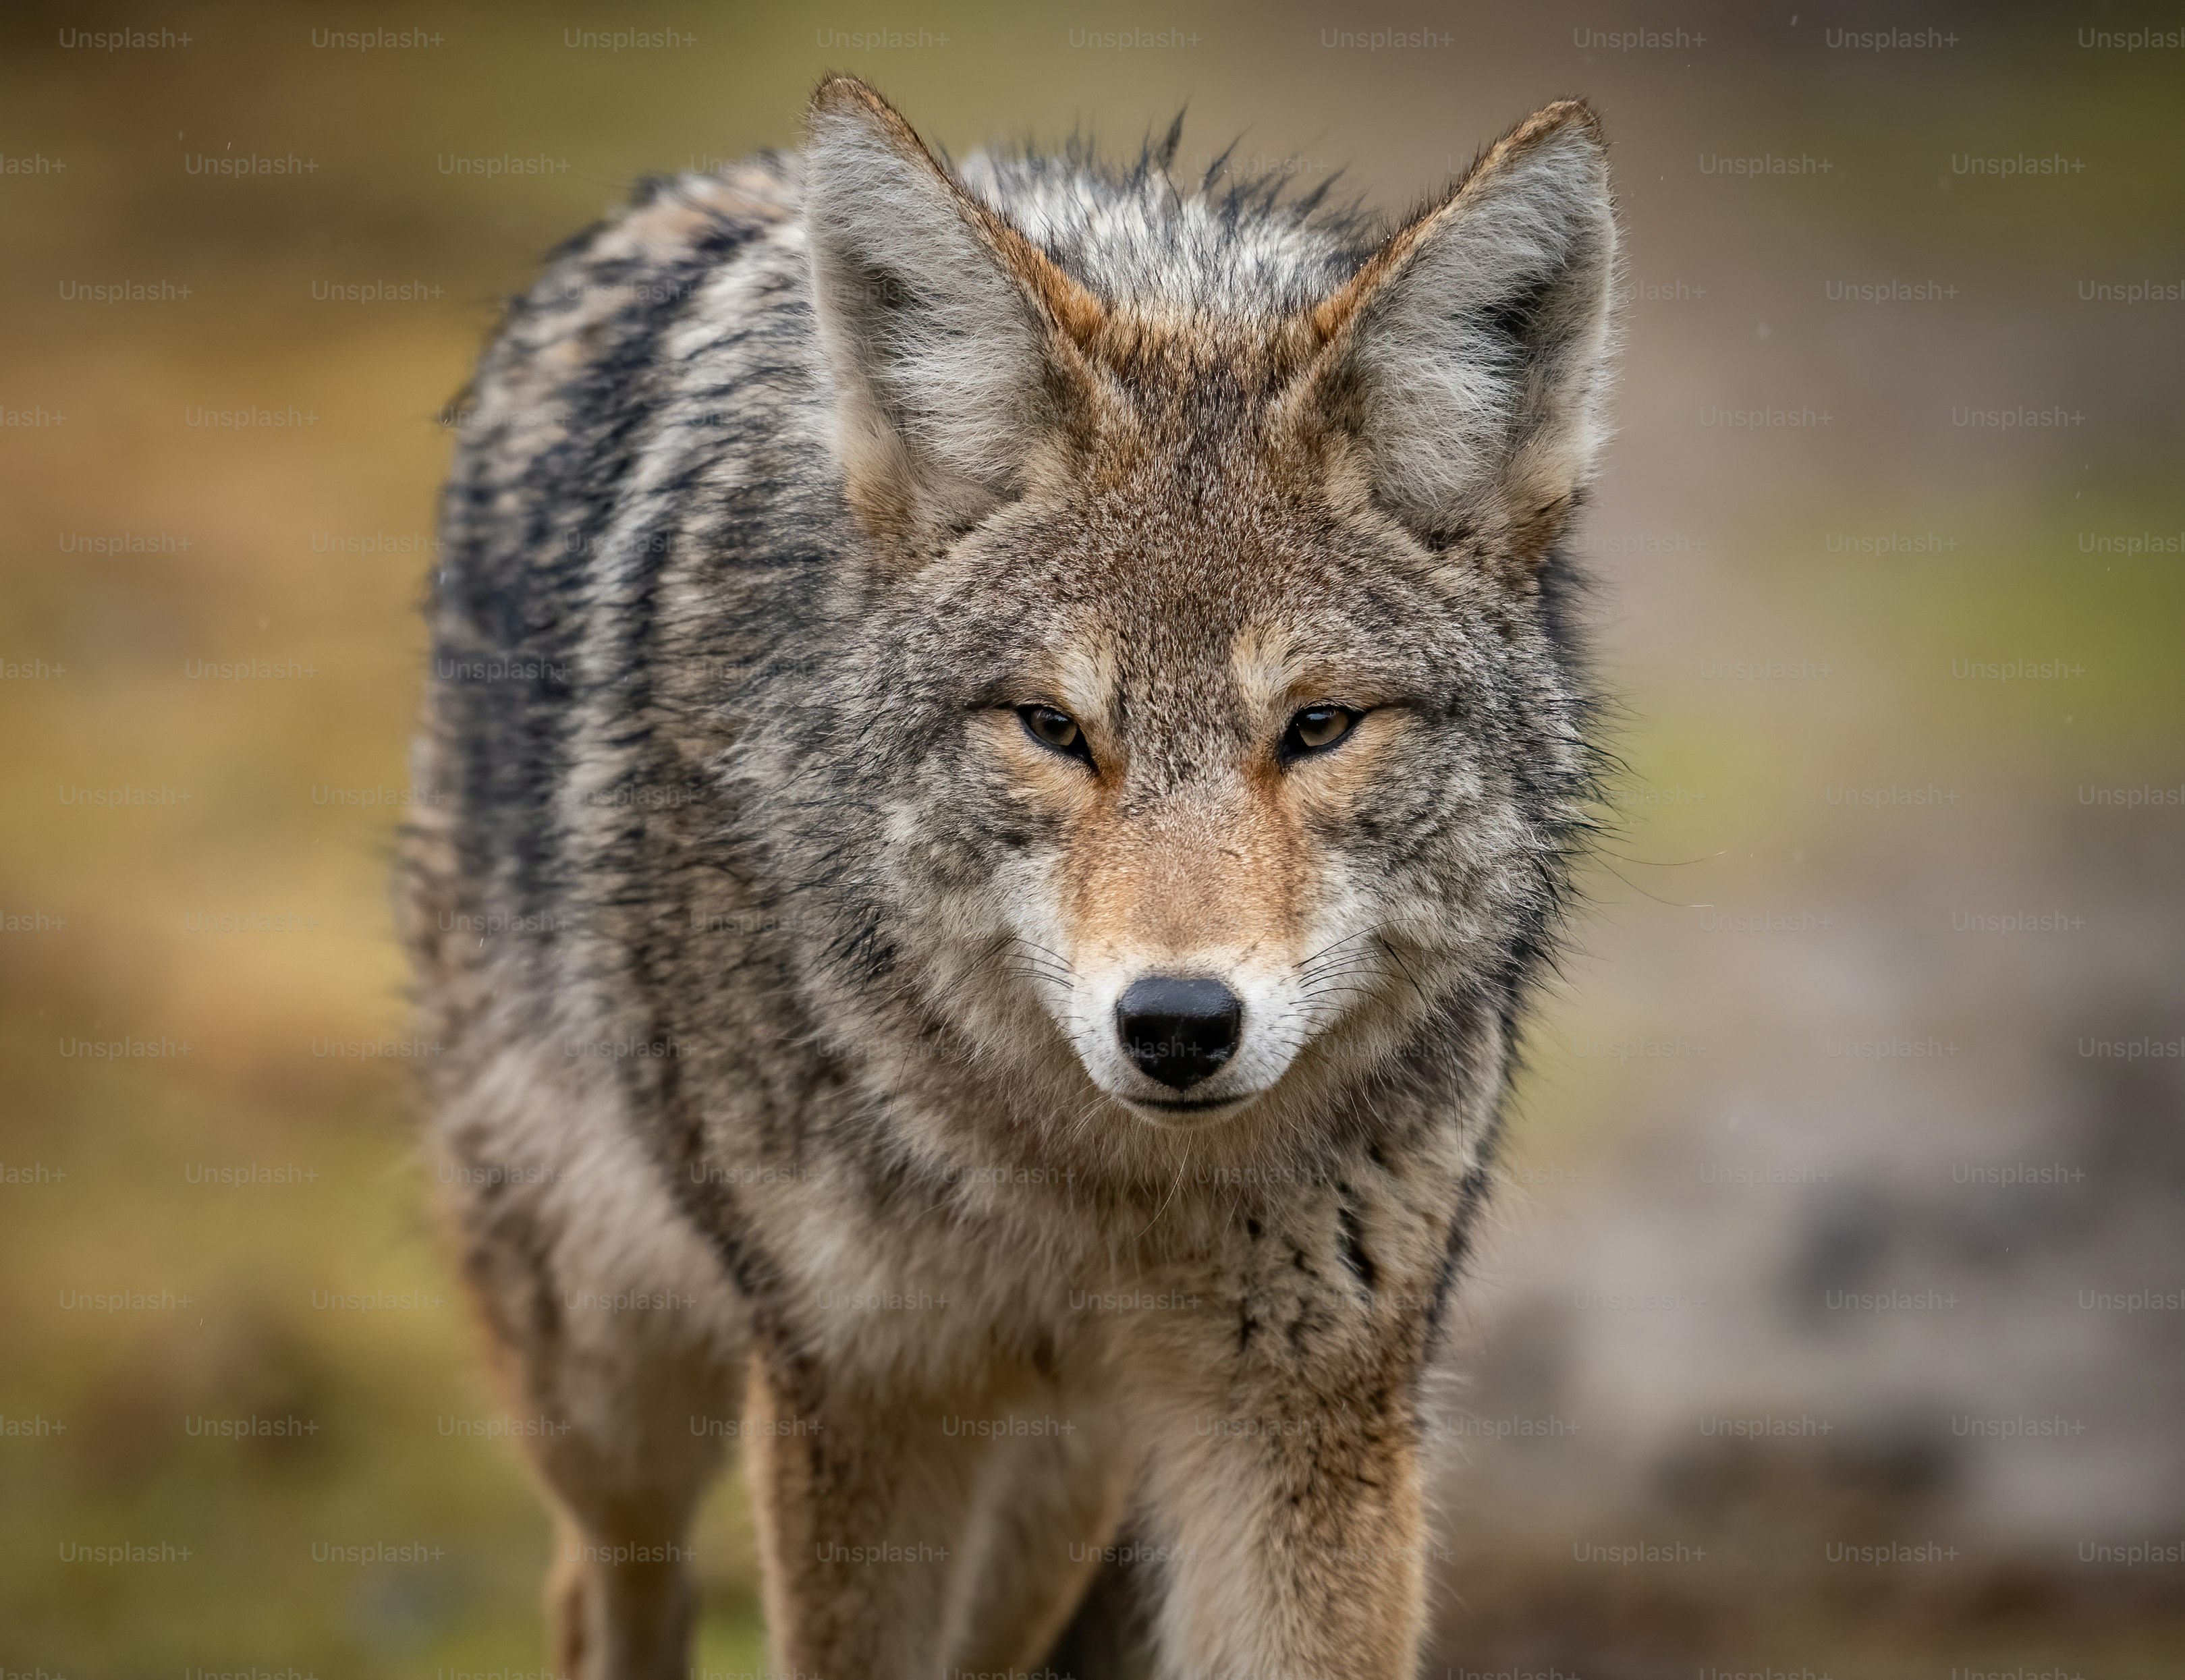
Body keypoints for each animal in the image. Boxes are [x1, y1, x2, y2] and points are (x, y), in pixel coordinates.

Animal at [402, 73, 1617, 1680]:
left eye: (1316, 729)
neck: (1090, 1188)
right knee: (599, 1588)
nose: (1177, 1025)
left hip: (1058, 1484)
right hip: (604, 1382)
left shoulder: (1303, 1408)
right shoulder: (855, 1392)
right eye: (1052, 728)